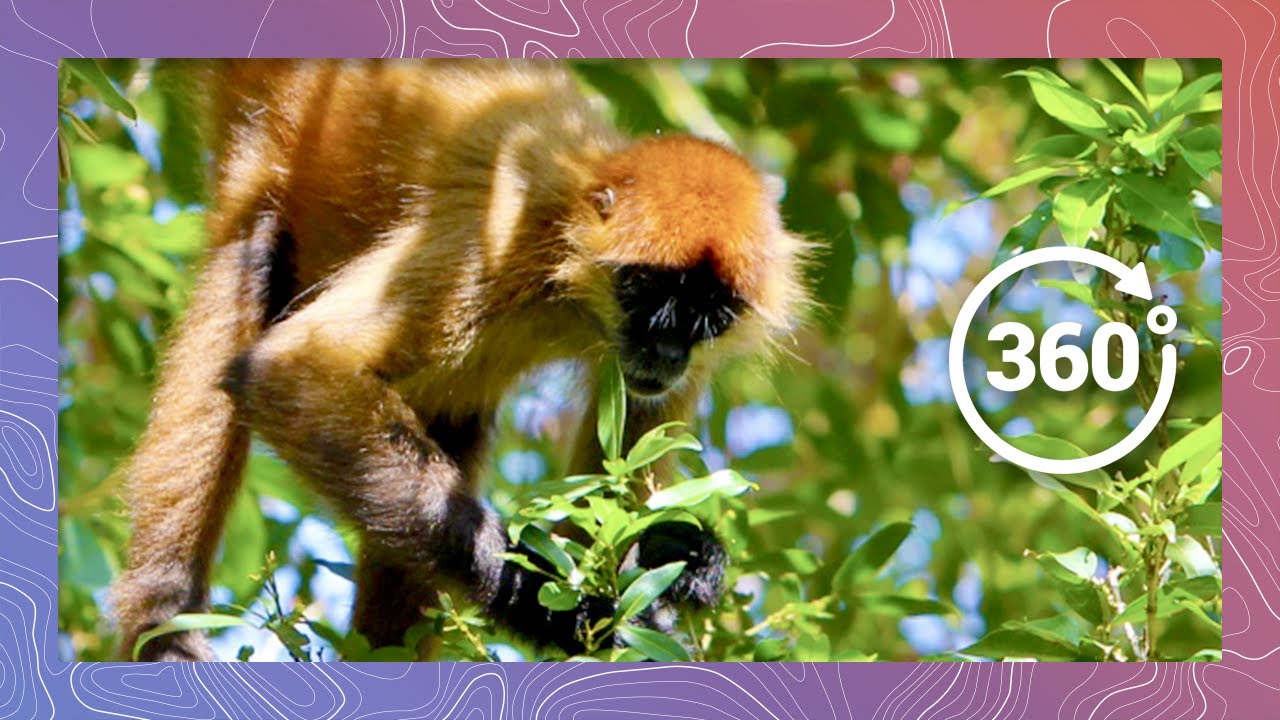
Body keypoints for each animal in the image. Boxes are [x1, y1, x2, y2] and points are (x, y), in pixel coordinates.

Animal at [110, 59, 809, 662]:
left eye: (709, 316)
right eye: (647, 291)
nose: (665, 351)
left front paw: (684, 557)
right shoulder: (502, 235)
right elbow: (291, 371)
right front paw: (542, 605)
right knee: (251, 262)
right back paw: (163, 626)